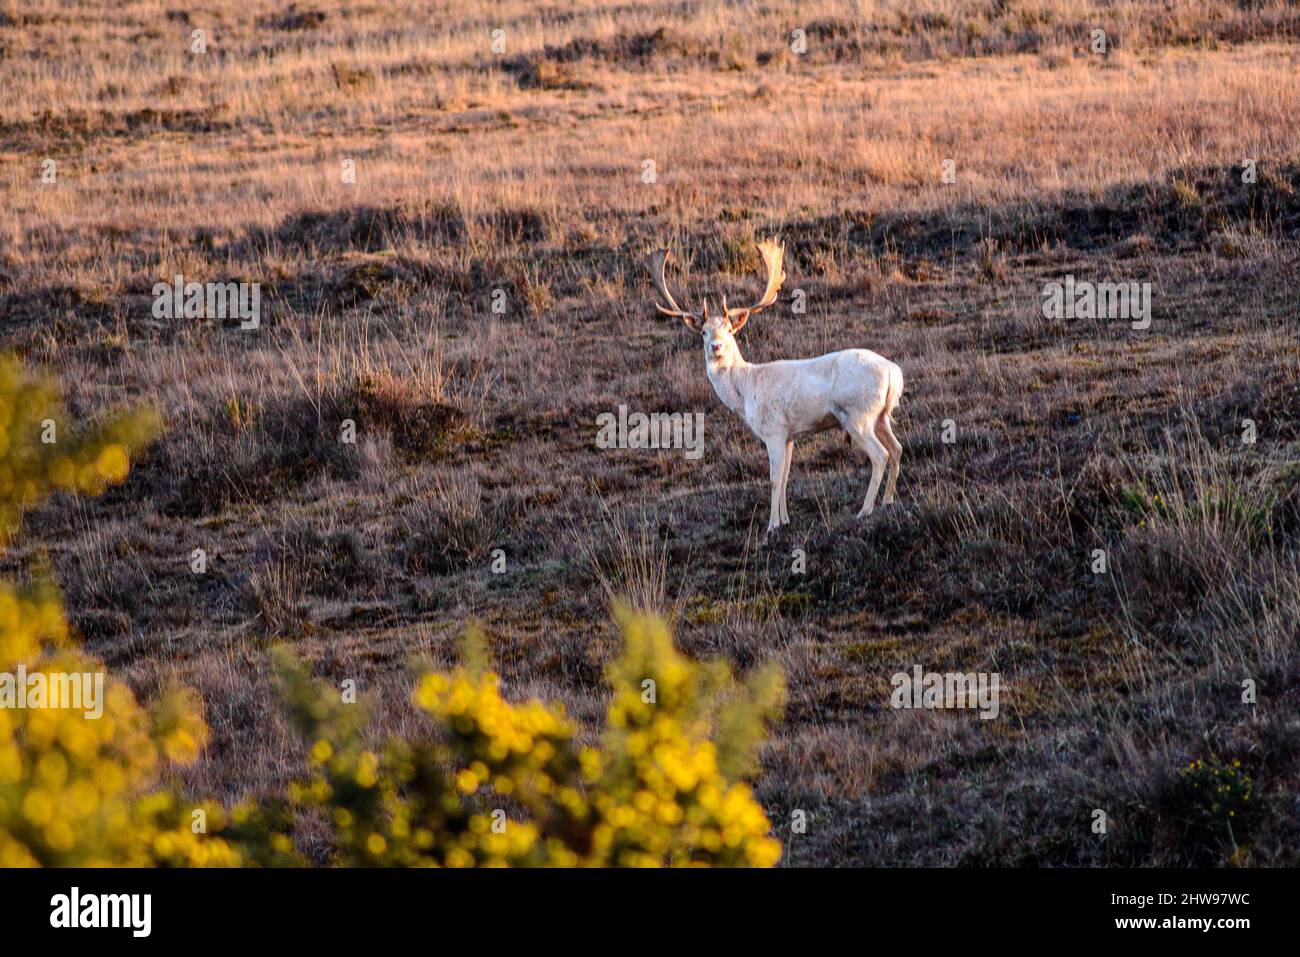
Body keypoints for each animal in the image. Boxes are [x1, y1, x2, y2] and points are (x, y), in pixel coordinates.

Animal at [650, 239, 903, 534]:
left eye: (729, 330)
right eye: (703, 332)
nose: (716, 346)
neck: (746, 391)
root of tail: (893, 372)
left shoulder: (773, 429)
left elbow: (773, 479)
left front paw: (771, 526)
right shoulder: (790, 435)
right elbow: (784, 478)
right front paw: (784, 519)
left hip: (857, 415)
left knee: (880, 455)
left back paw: (864, 510)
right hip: (881, 416)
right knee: (897, 448)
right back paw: (887, 501)